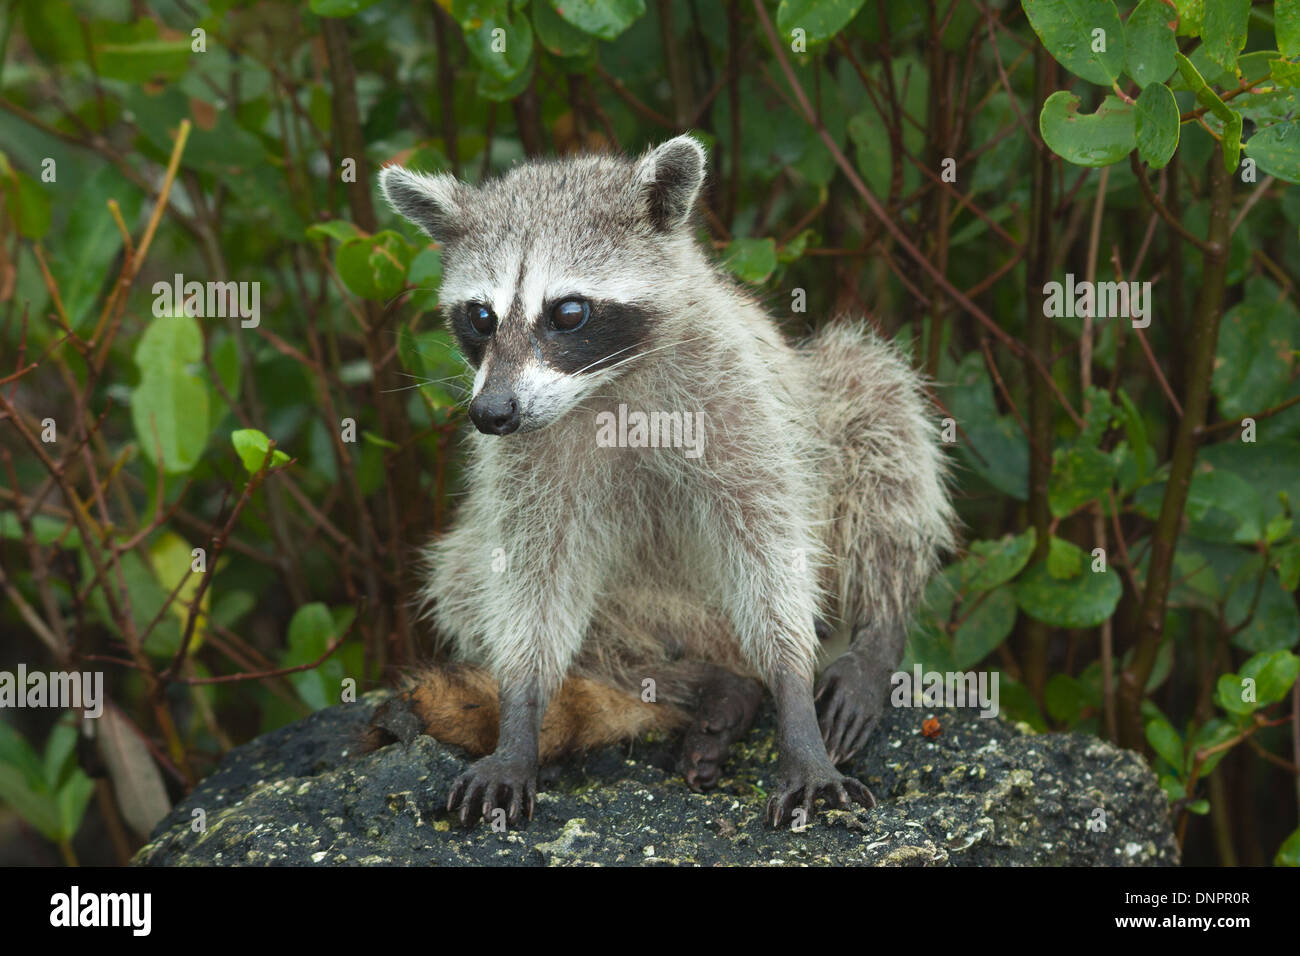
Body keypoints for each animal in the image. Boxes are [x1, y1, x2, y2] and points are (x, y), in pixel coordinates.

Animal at [376, 135, 957, 828]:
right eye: (481, 318)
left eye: (567, 312)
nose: (489, 414)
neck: (606, 383)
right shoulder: (528, 457)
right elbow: (531, 575)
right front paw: (521, 712)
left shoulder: (732, 397)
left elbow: (771, 549)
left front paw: (795, 695)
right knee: (464, 578)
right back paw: (709, 686)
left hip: (818, 418)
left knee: (876, 398)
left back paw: (876, 630)